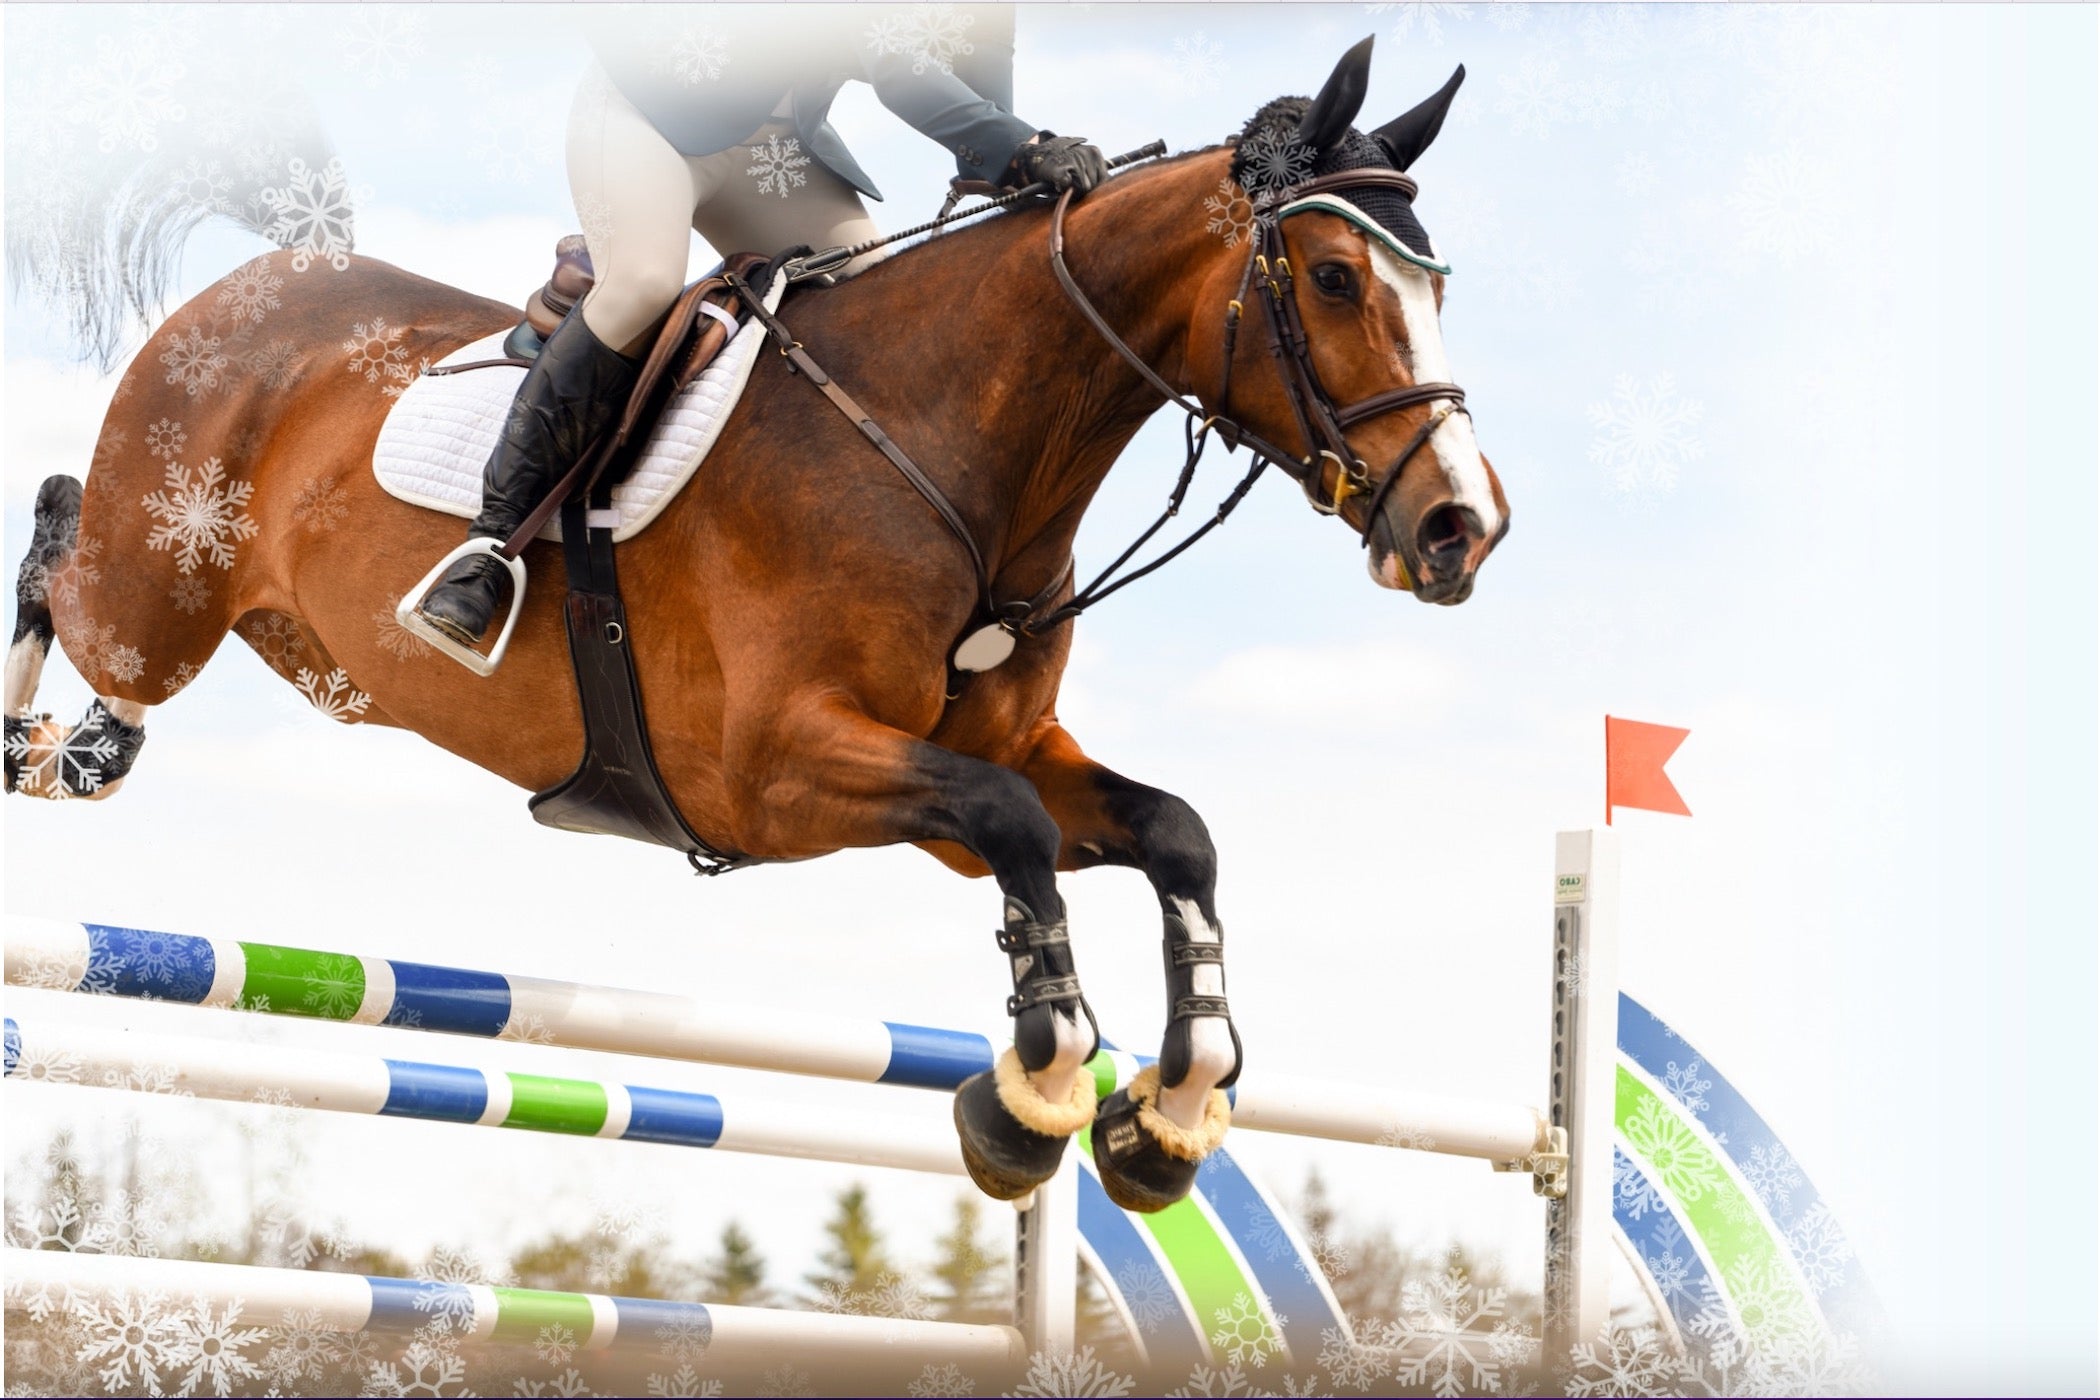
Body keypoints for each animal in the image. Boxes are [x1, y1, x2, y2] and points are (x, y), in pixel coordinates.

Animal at [5, 40, 1507, 1212]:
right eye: (1331, 276)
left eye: (1440, 282)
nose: (1461, 527)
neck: (955, 449)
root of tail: (267, 282)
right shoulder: (775, 770)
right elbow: (1018, 830)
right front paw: (1035, 1091)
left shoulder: (983, 766)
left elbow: (1170, 832)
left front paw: (1175, 1110)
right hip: (156, 591)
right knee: (64, 542)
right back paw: (48, 743)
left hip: (302, 652)